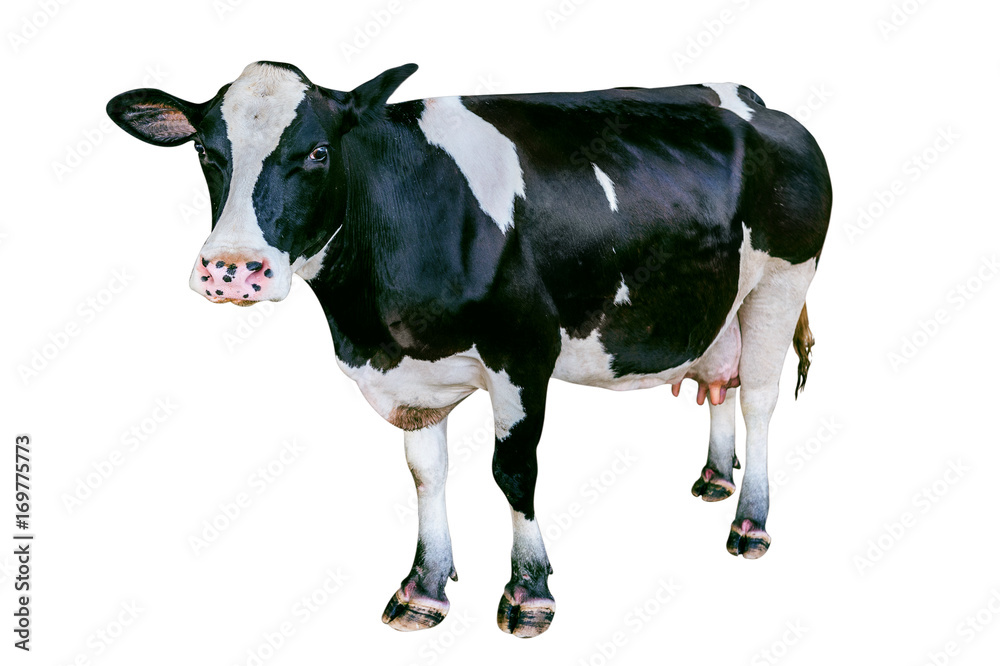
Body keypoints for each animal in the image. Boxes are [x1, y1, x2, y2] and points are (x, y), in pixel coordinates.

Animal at [107, 61, 832, 638]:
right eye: (207, 151)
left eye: (316, 152)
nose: (232, 268)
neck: (372, 321)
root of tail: (754, 101)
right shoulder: (411, 375)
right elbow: (426, 472)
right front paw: (423, 587)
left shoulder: (523, 351)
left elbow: (514, 472)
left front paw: (529, 592)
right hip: (724, 301)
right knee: (721, 380)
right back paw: (714, 478)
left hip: (782, 280)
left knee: (759, 398)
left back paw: (750, 524)